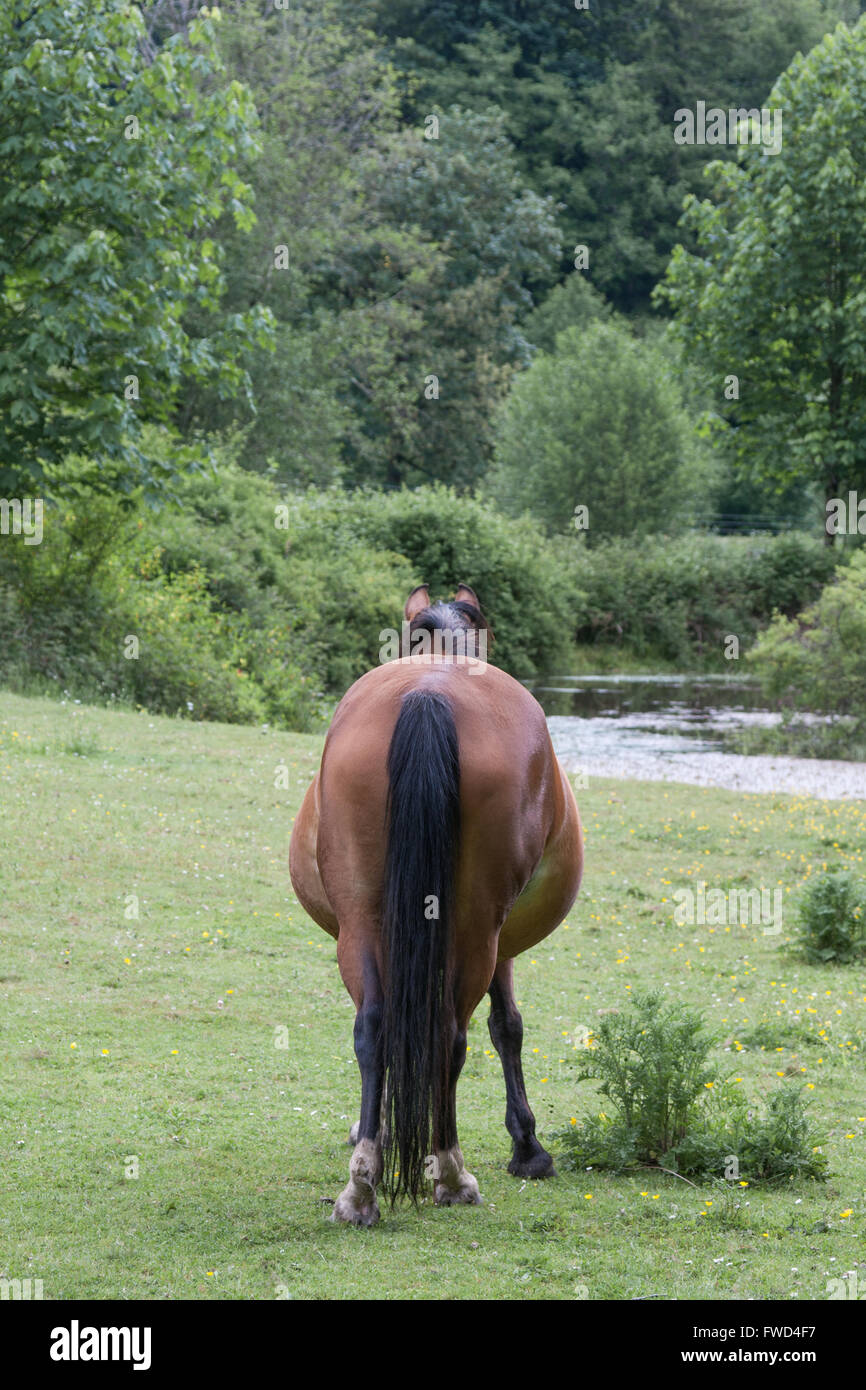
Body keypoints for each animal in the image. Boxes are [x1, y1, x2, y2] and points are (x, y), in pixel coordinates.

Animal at [289, 583, 583, 1225]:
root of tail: (431, 692)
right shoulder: (501, 944)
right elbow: (507, 1026)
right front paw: (528, 1146)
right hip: (474, 929)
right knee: (451, 1032)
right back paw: (451, 1172)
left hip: (365, 923)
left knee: (374, 1028)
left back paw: (361, 1189)